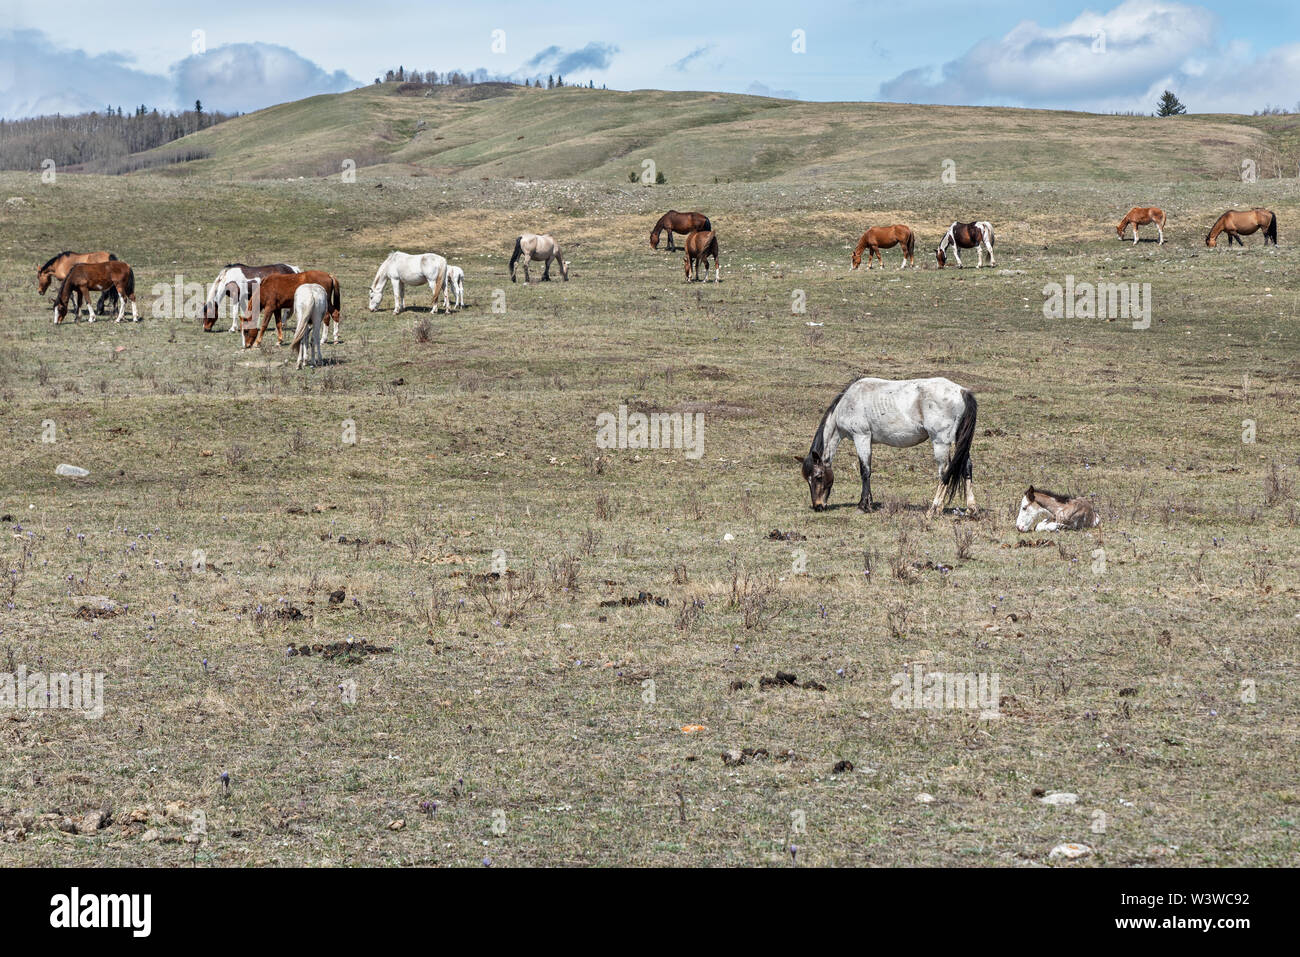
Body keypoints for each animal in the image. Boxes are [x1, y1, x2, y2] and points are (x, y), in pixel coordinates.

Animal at [796, 377, 977, 517]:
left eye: (818, 477)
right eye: (808, 479)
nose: (818, 506)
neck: (847, 402)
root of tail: (962, 391)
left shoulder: (861, 437)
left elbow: (864, 471)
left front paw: (863, 506)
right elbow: (868, 470)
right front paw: (868, 503)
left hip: (940, 442)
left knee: (945, 471)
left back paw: (934, 509)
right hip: (958, 442)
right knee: (966, 467)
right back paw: (971, 510)